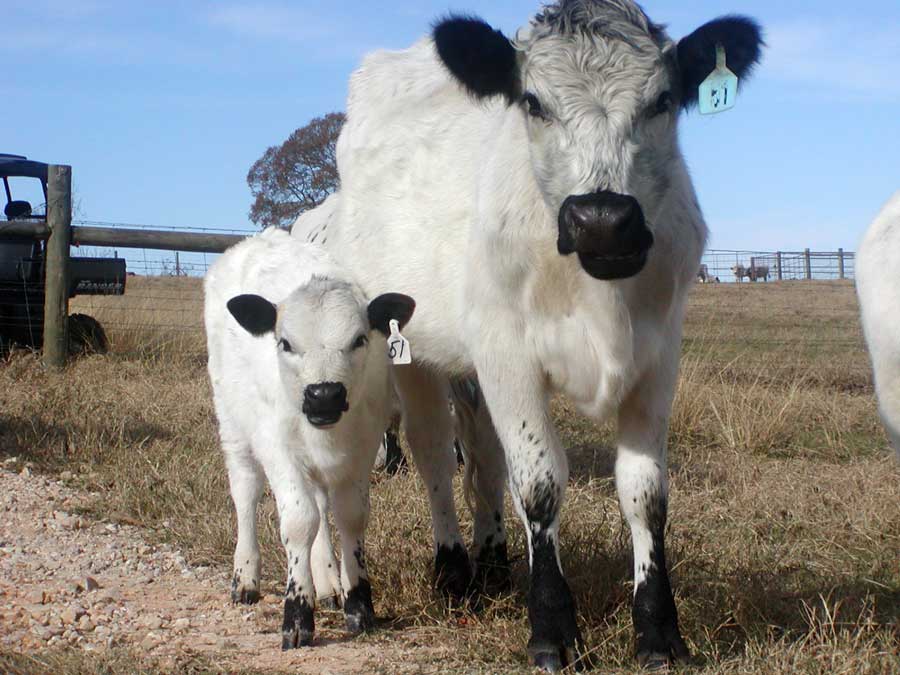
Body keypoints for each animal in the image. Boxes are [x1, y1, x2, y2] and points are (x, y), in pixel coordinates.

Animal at [292, 1, 762, 669]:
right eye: (533, 102)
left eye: (663, 99)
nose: (603, 221)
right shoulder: (506, 354)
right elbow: (539, 485)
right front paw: (551, 628)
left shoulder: (658, 357)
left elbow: (645, 492)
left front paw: (658, 631)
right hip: (409, 349)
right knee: (435, 454)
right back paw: (453, 572)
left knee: (483, 457)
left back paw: (492, 565)